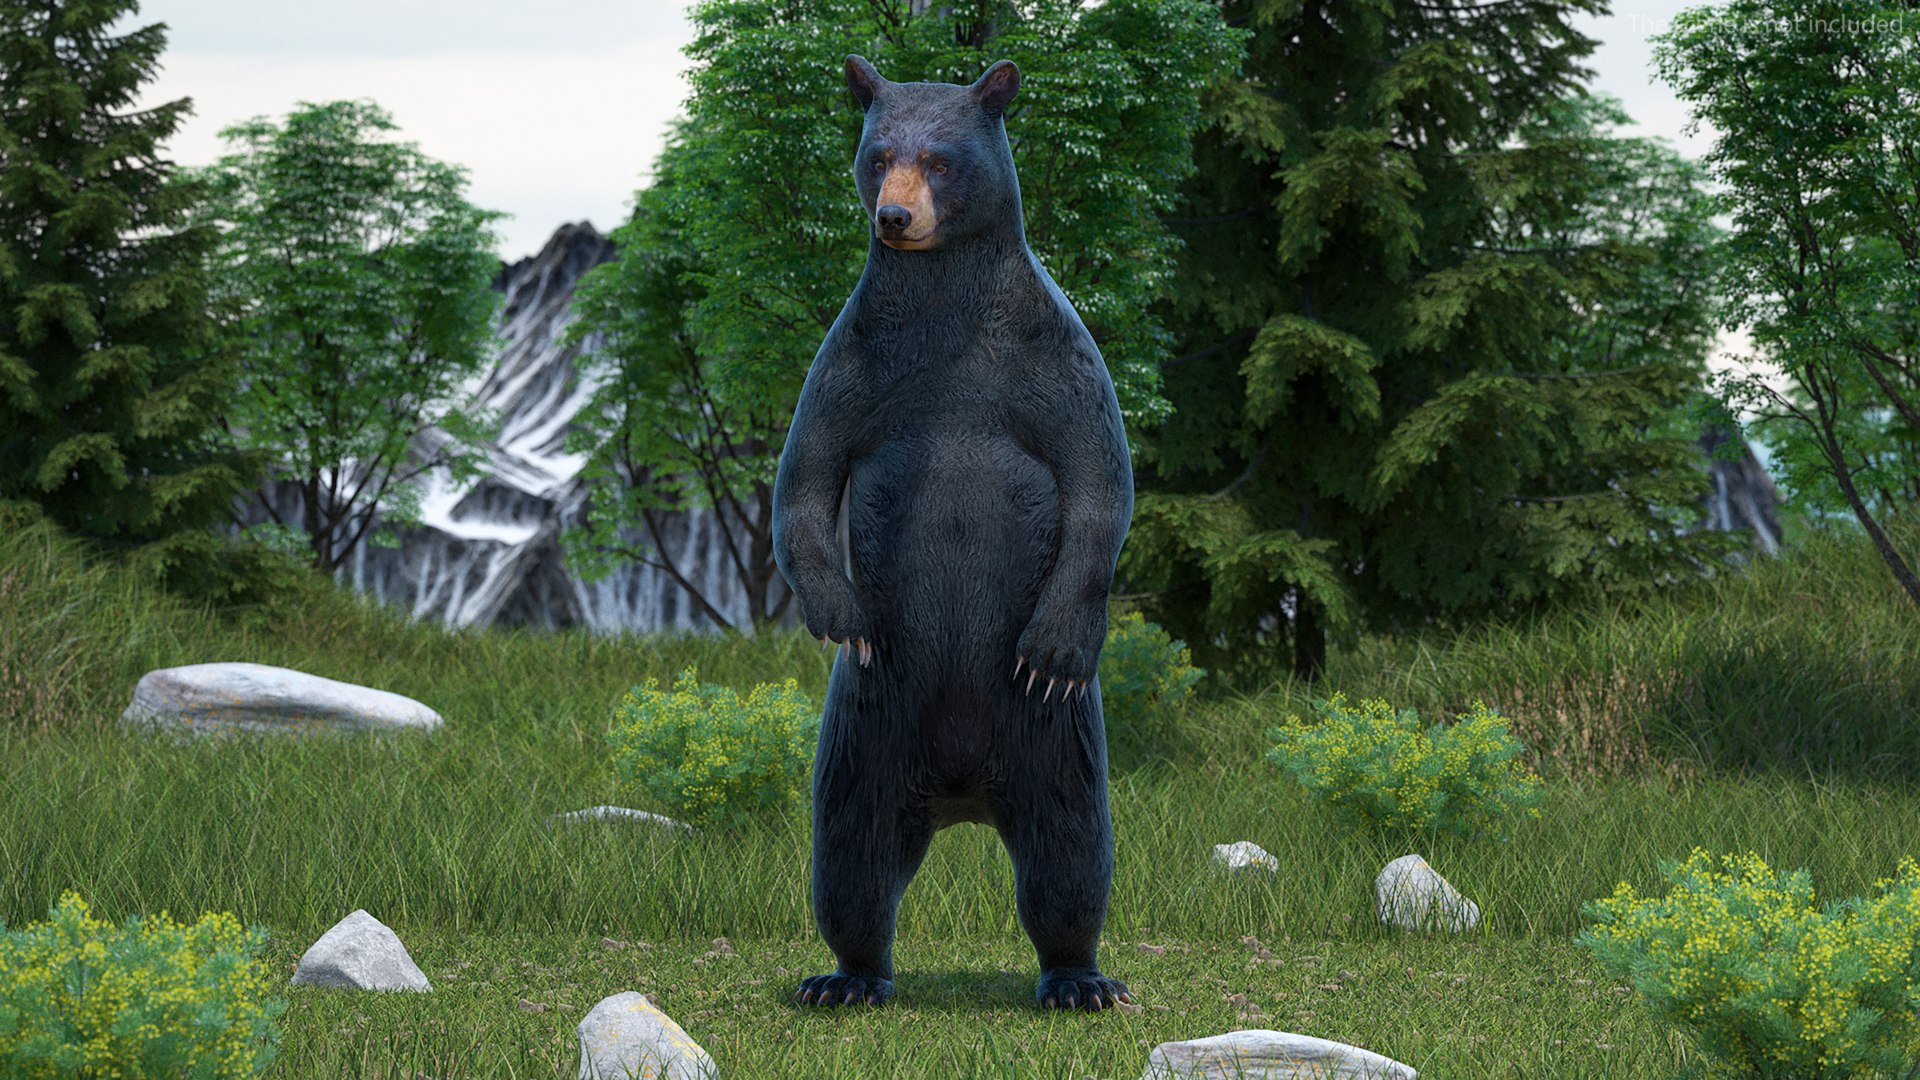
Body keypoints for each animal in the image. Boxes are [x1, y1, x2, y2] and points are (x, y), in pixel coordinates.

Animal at [769, 53, 1135, 1012]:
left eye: (939, 160)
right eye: (880, 155)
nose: (895, 217)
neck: (944, 302)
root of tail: (964, 795)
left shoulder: (1049, 356)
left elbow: (1100, 483)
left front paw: (1055, 642)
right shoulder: (858, 361)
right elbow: (804, 478)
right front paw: (841, 616)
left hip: (1053, 741)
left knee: (1070, 851)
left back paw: (1080, 979)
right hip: (868, 732)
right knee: (850, 857)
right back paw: (847, 978)